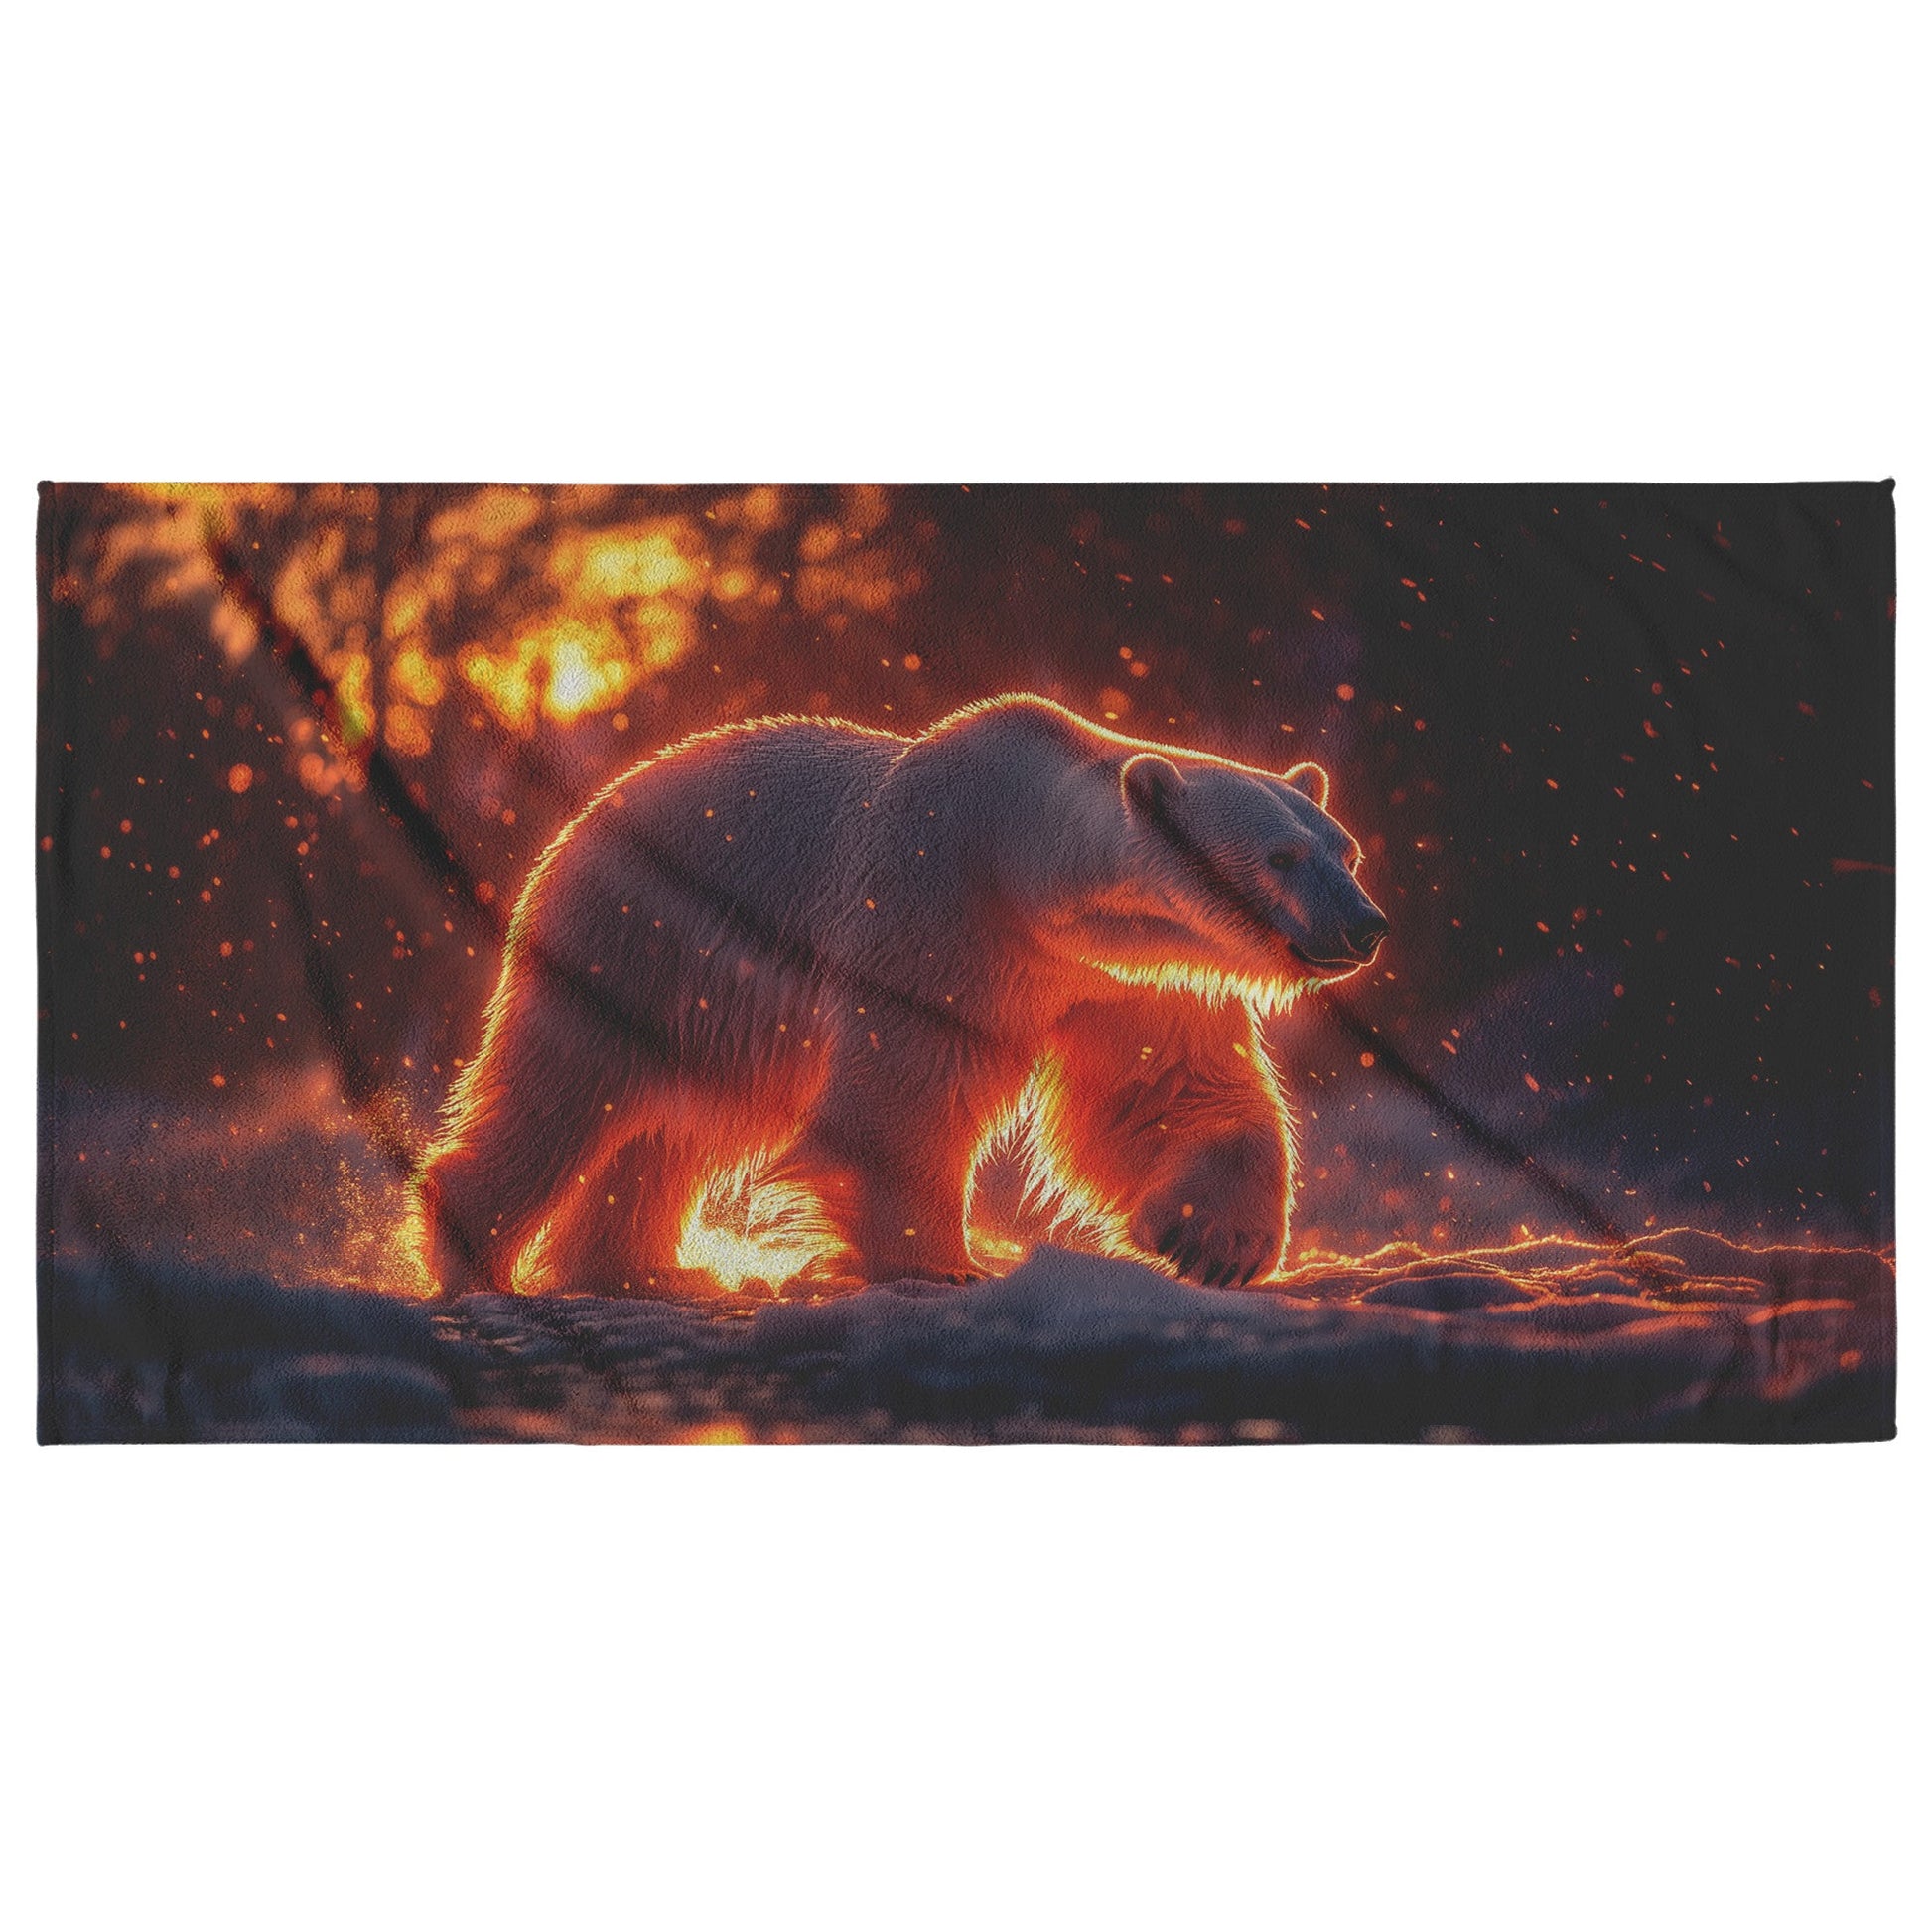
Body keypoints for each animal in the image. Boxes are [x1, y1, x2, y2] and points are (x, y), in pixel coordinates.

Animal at [413, 694, 1386, 1296]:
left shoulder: (1126, 978)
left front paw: (1215, 1244)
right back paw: (474, 1262)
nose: (1366, 926)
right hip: (632, 938)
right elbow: (910, 1089)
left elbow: (1168, 1086)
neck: (1026, 866)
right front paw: (939, 1263)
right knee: (564, 1091)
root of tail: (581, 815)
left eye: (1345, 849)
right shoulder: (937, 913)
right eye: (1281, 857)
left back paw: (645, 1269)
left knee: (678, 1130)